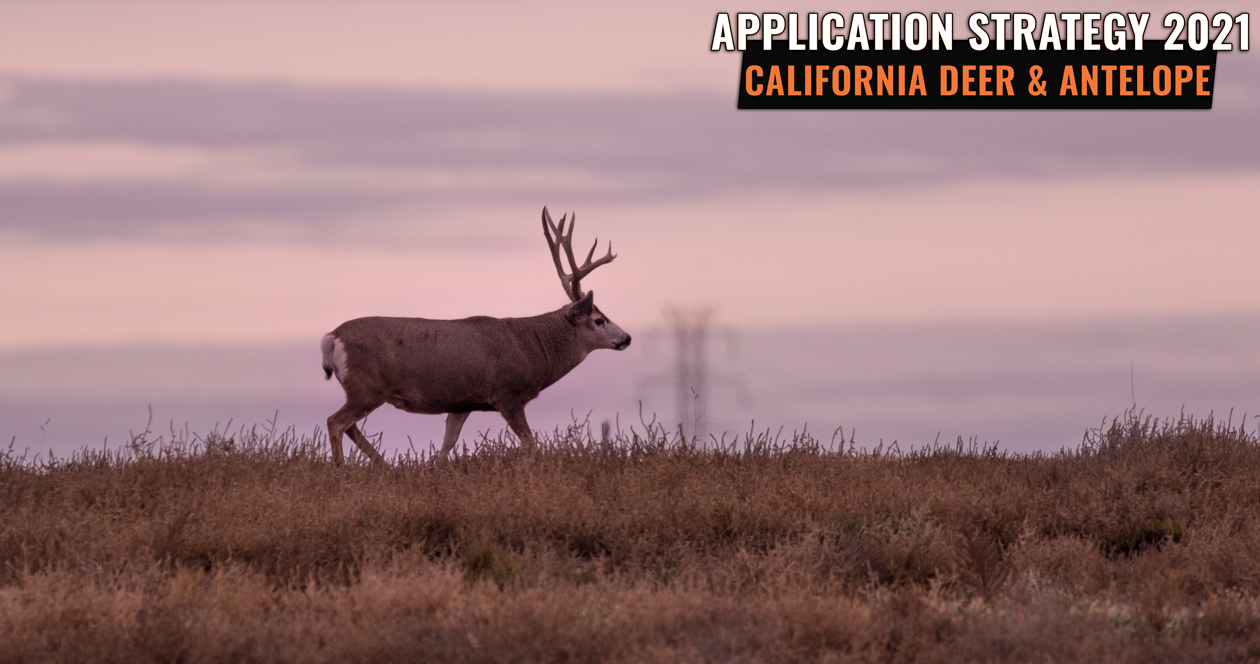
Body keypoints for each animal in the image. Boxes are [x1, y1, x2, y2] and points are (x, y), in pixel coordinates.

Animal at [320, 207, 631, 466]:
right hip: (368, 387)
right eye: (599, 320)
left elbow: (447, 444)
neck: (535, 348)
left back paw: (384, 467)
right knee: (336, 421)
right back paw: (341, 470)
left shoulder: (462, 401)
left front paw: (433, 471)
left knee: (350, 426)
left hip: (362, 390)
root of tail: (334, 336)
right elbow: (531, 446)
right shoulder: (509, 394)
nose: (627, 338)